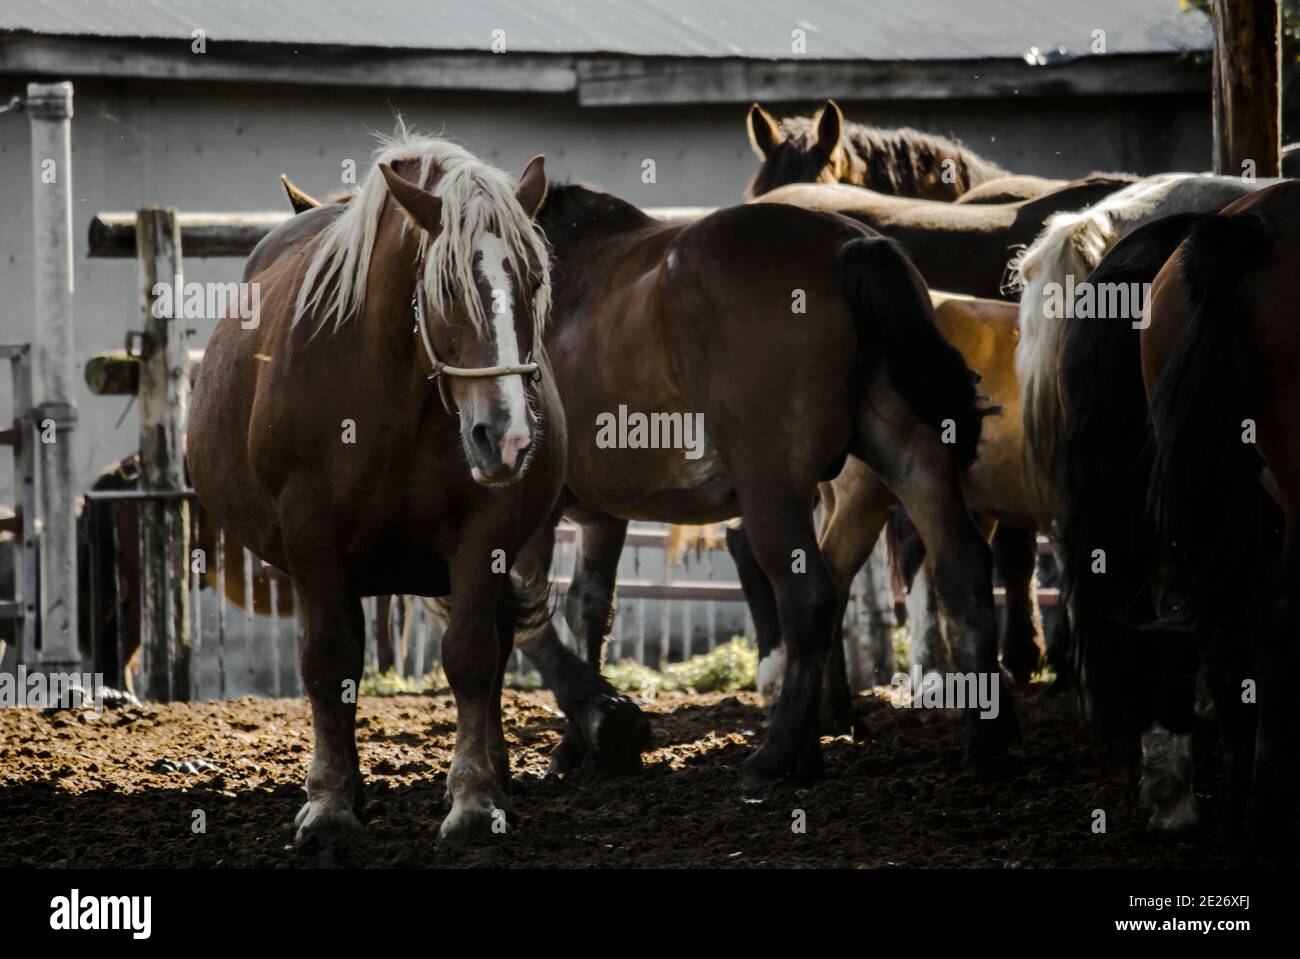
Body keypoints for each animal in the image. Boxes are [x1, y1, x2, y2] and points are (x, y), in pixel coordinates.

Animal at [187, 128, 566, 847]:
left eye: (533, 281)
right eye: (446, 287)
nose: (505, 437)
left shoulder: (486, 530)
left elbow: (473, 655)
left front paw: (473, 799)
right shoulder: (312, 534)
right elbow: (329, 660)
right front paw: (331, 803)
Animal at [498, 180, 1012, 784]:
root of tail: (848, 245)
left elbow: (523, 608)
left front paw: (596, 726)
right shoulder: (603, 515)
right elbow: (587, 608)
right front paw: (581, 737)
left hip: (773, 484)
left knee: (808, 596)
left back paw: (782, 752)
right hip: (910, 456)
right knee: (962, 566)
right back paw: (984, 743)